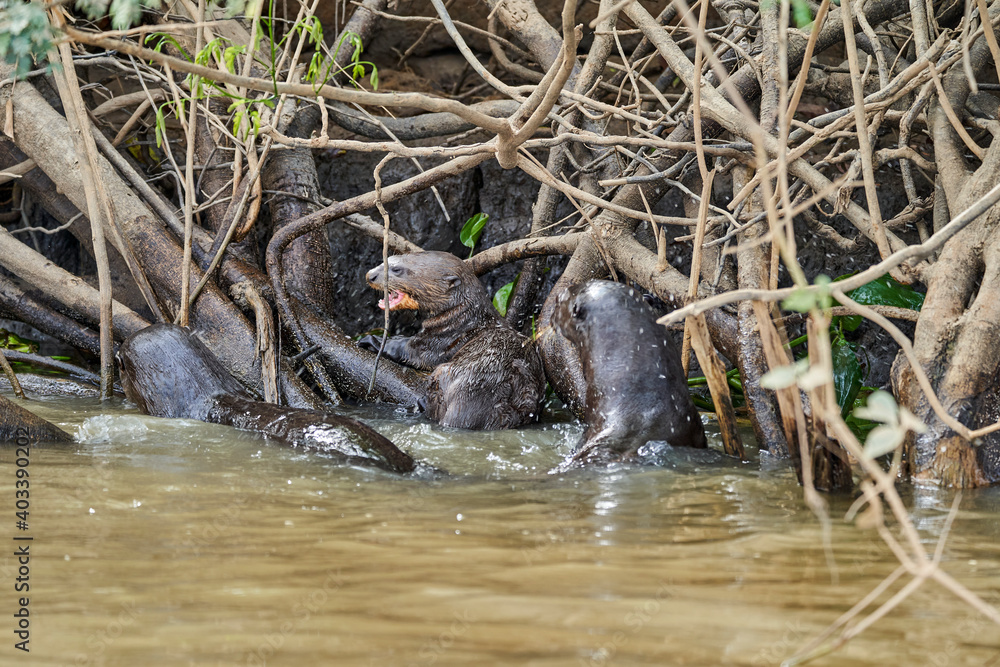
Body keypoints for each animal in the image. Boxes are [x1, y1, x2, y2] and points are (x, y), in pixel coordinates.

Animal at [363, 251, 545, 430]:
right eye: (386, 260)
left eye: (397, 269)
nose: (370, 275)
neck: (461, 320)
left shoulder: (437, 341)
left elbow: (407, 351)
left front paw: (374, 340)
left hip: (442, 372)